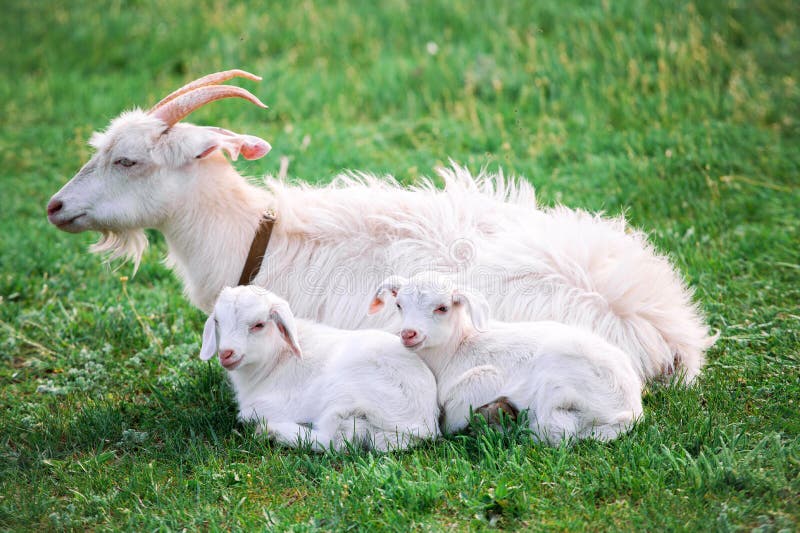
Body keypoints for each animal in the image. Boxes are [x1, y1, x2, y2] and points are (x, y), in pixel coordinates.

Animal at [200, 285, 440, 452]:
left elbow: (247, 414)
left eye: (259, 325)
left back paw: (273, 432)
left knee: (334, 441)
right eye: (217, 321)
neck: (277, 359)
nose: (226, 354)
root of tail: (422, 423)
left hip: (343, 393)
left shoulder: (274, 405)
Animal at [369, 272, 644, 444]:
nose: (408, 334)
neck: (456, 349)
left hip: (556, 383)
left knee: (555, 431)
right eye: (399, 305)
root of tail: (628, 410)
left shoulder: (481, 379)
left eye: (442, 308)